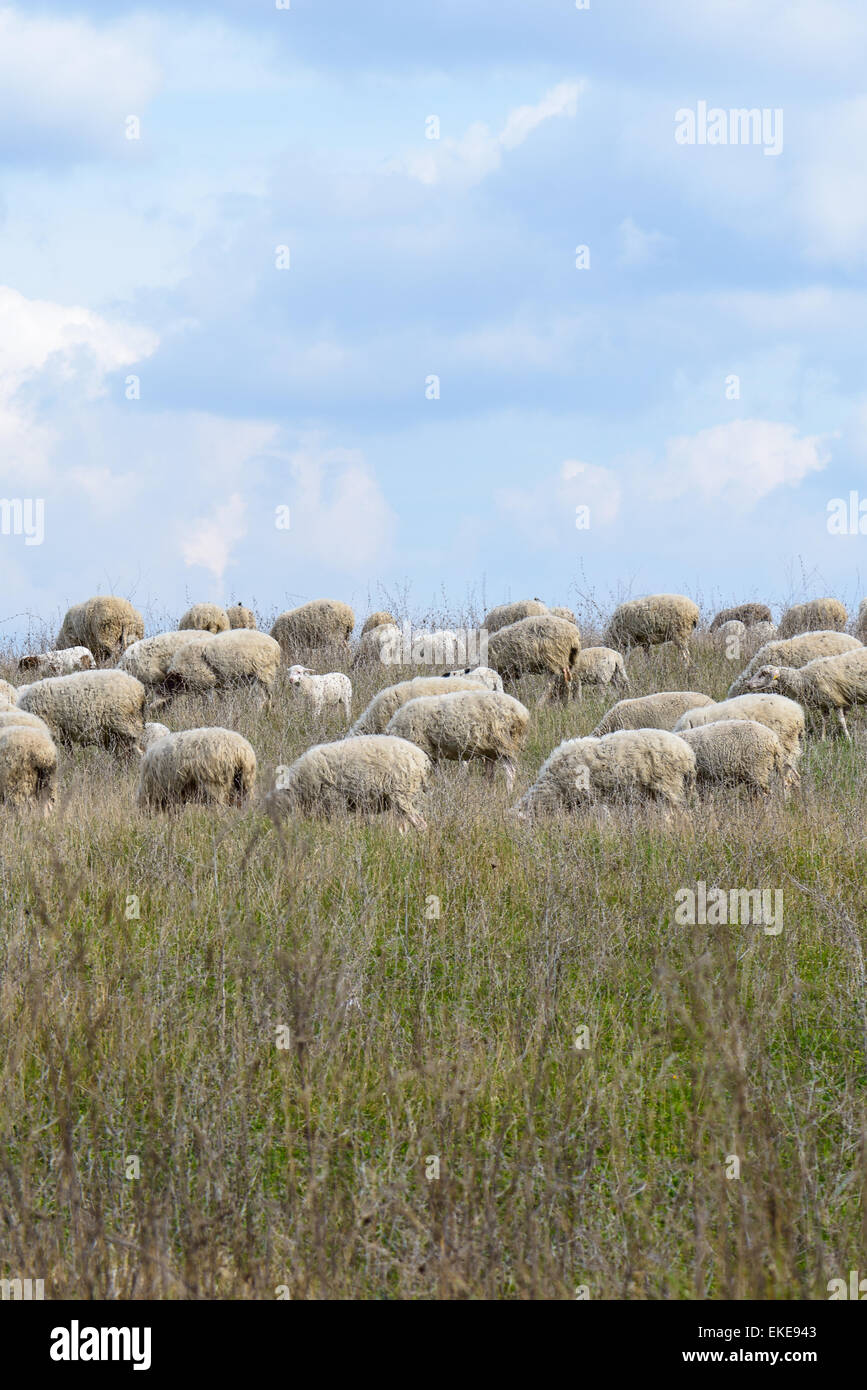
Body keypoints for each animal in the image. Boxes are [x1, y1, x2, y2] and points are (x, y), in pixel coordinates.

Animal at [17, 670, 146, 754]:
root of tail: (139, 688)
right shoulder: (64, 732)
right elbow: (68, 751)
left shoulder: (52, 730)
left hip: (126, 724)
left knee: (135, 750)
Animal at [385, 690, 529, 790]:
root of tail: (522, 712)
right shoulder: (432, 752)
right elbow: (438, 772)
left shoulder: (425, 748)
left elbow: (436, 772)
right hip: (491, 749)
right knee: (490, 773)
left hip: (503, 743)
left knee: (510, 771)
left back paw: (508, 791)